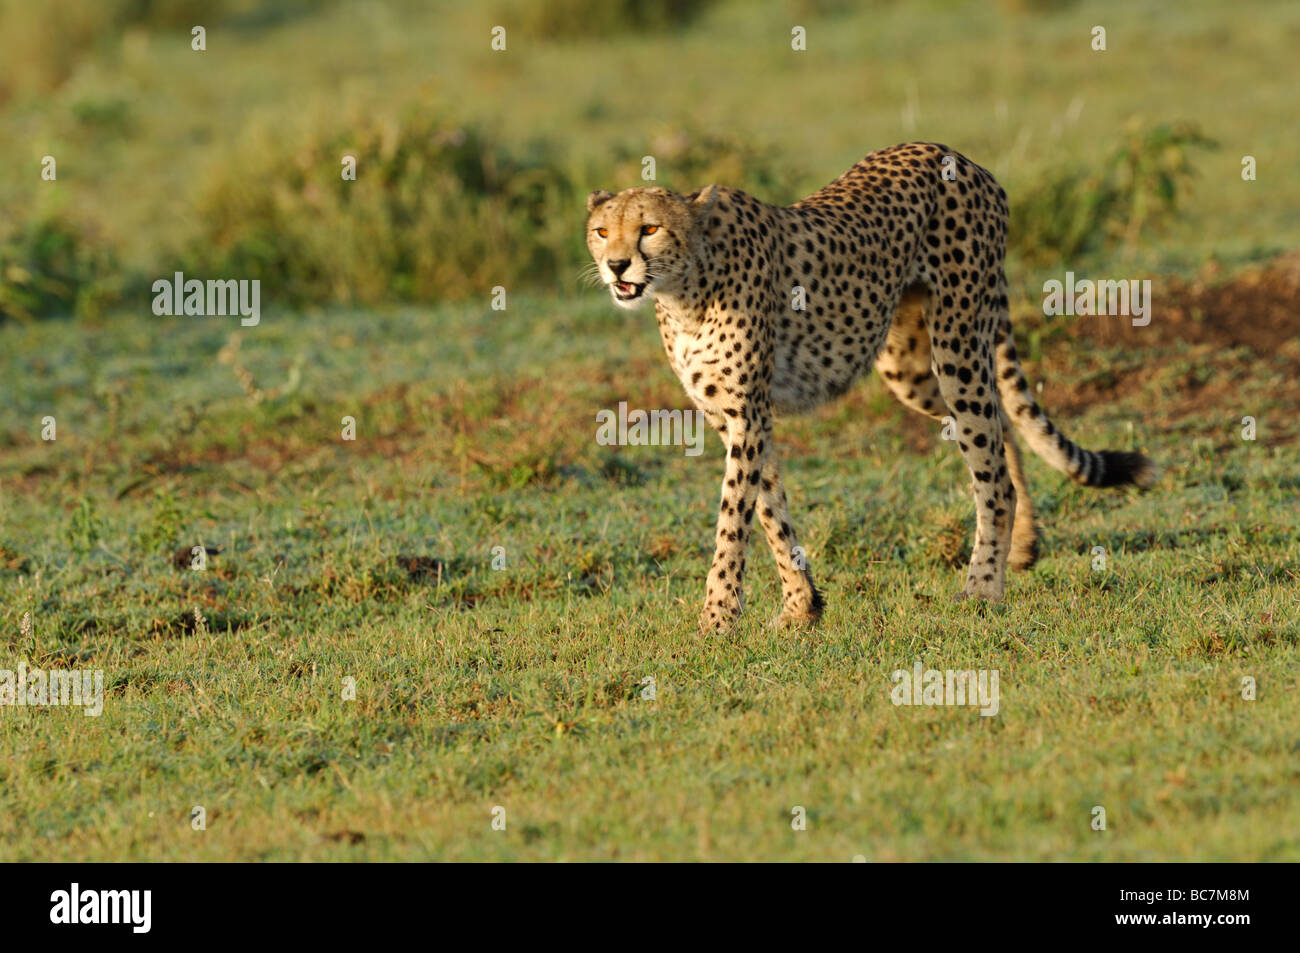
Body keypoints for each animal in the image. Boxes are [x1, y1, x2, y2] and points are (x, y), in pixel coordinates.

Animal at [585, 141, 1157, 633]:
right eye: (601, 231)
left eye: (650, 228)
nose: (616, 265)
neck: (684, 287)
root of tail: (955, 154)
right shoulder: (731, 415)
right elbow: (768, 510)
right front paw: (801, 608)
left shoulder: (748, 412)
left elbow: (733, 518)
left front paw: (717, 619)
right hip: (909, 367)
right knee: (998, 430)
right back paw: (1021, 547)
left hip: (957, 341)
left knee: (990, 467)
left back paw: (981, 589)